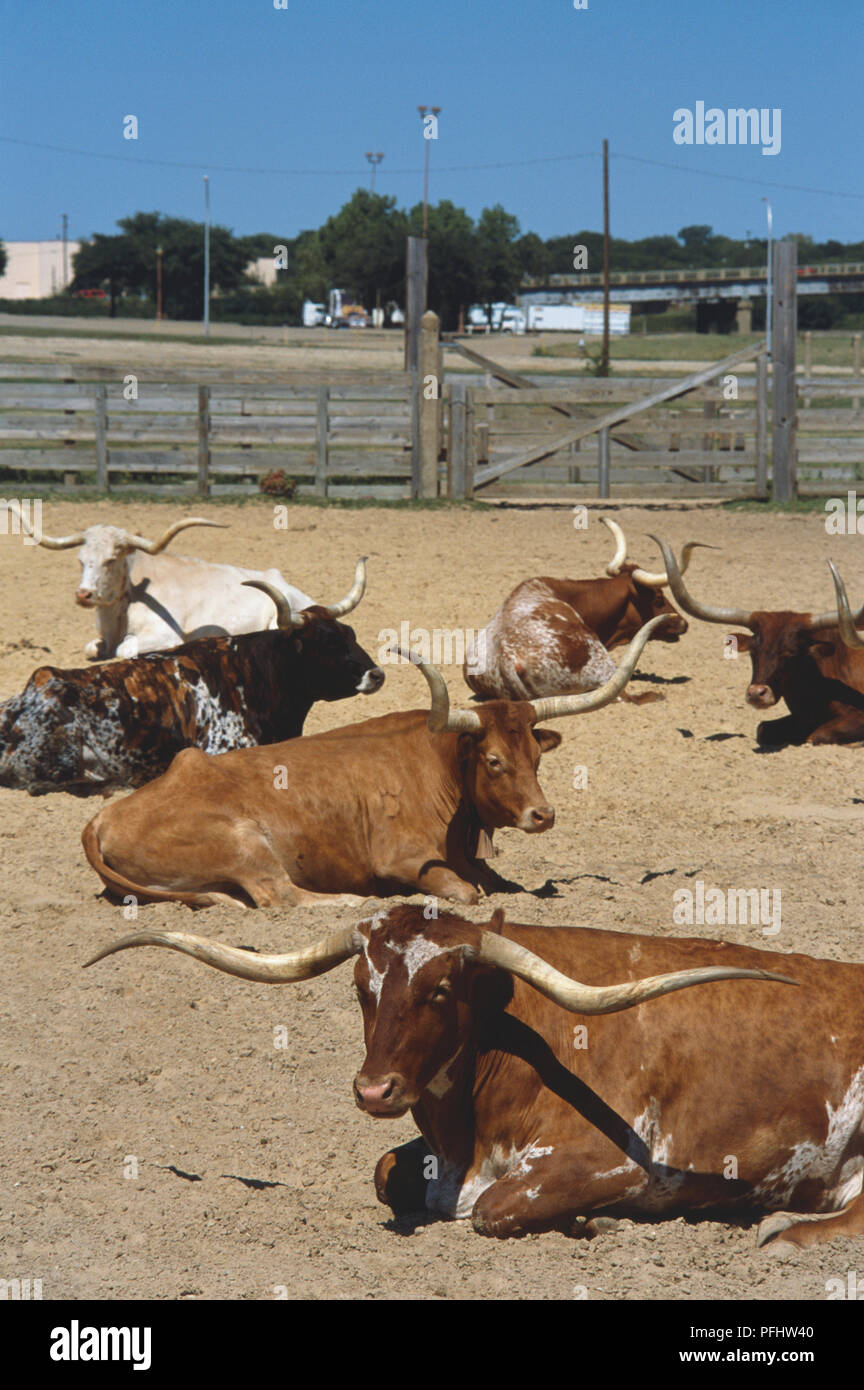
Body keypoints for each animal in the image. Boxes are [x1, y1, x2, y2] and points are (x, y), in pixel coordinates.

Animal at [4, 501, 315, 660]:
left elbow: (123, 649)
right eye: (81, 560)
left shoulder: (163, 634)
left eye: (111, 559)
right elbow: (91, 648)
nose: (83, 594)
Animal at [81, 615, 666, 908]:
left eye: (537, 758)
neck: (439, 767)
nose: (542, 815)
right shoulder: (402, 859)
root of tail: (103, 817)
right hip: (245, 844)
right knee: (279, 897)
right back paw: (347, 901)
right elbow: (465, 892)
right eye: (494, 760)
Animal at [84, 902, 864, 1250]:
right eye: (361, 990)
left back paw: (782, 1229)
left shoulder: (617, 1162)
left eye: (438, 991)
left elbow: (494, 1208)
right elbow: (386, 1173)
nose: (374, 1090)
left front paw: (593, 1221)